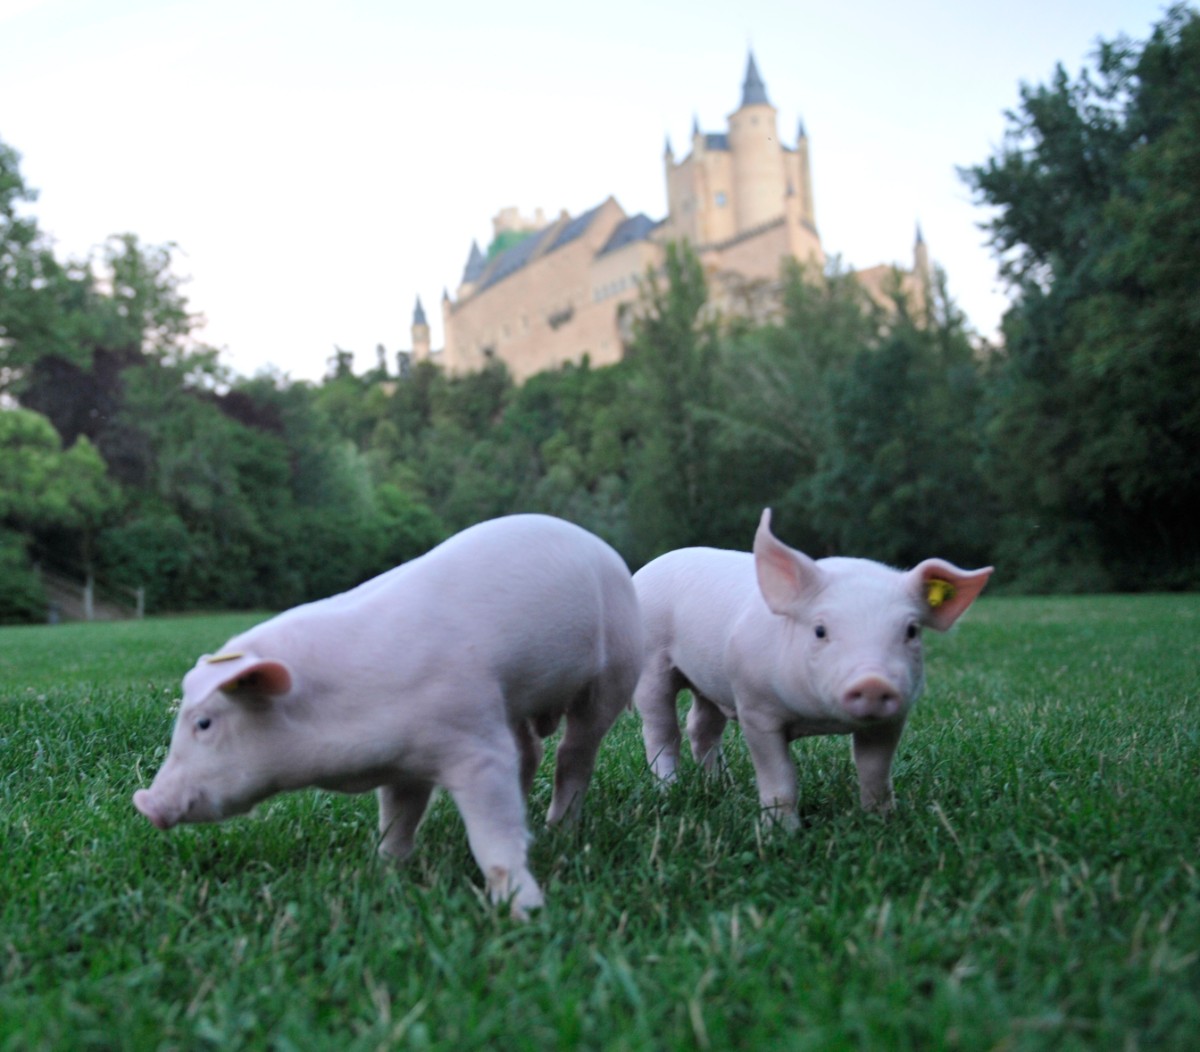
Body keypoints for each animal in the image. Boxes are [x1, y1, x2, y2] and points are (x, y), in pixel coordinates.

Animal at [133, 514, 643, 916]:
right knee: (531, 750)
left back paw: (560, 829)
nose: (145, 802)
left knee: (574, 753)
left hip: (615, 672)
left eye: (204, 723)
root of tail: (604, 548)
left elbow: (491, 831)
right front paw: (384, 873)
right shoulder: (406, 765)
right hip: (514, 699)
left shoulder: (473, 739)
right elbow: (396, 819)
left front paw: (523, 911)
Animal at [633, 509, 992, 827]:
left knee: (701, 727)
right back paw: (669, 791)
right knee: (662, 732)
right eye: (820, 630)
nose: (873, 681)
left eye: (912, 631)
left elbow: (874, 771)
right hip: (650, 666)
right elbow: (779, 779)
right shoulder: (756, 709)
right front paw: (782, 835)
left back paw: (722, 786)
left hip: (708, 682)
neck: (820, 720)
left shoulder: (891, 719)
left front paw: (881, 822)